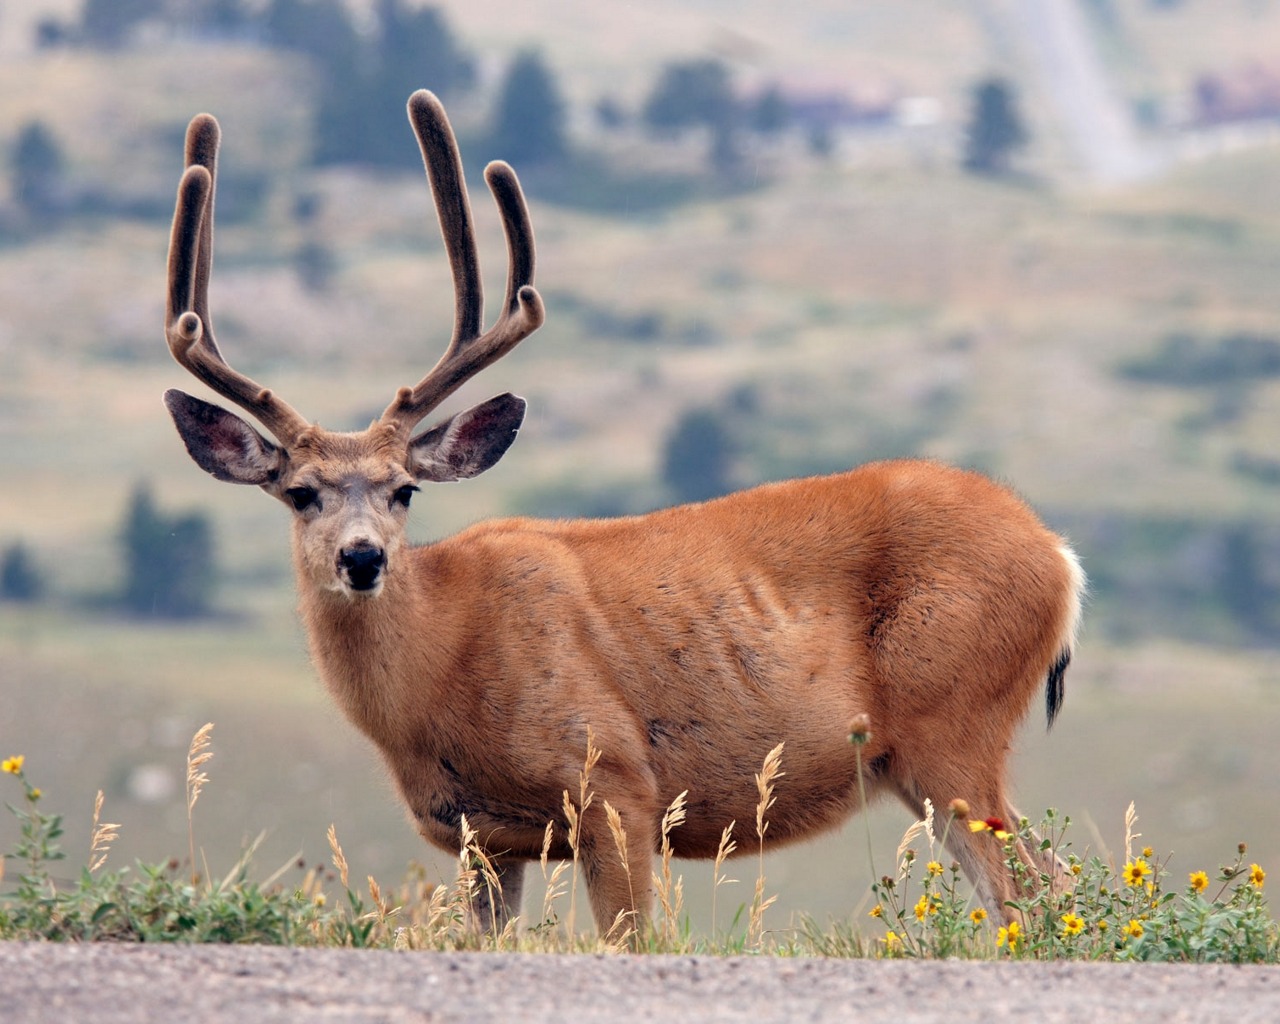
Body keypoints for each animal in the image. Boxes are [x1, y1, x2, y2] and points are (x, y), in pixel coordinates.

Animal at [162, 89, 1085, 939]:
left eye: (403, 489)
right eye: (300, 492)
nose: (362, 558)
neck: (445, 662)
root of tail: (1059, 555)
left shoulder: (613, 781)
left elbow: (632, 937)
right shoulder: (481, 838)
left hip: (953, 719)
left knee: (1039, 891)